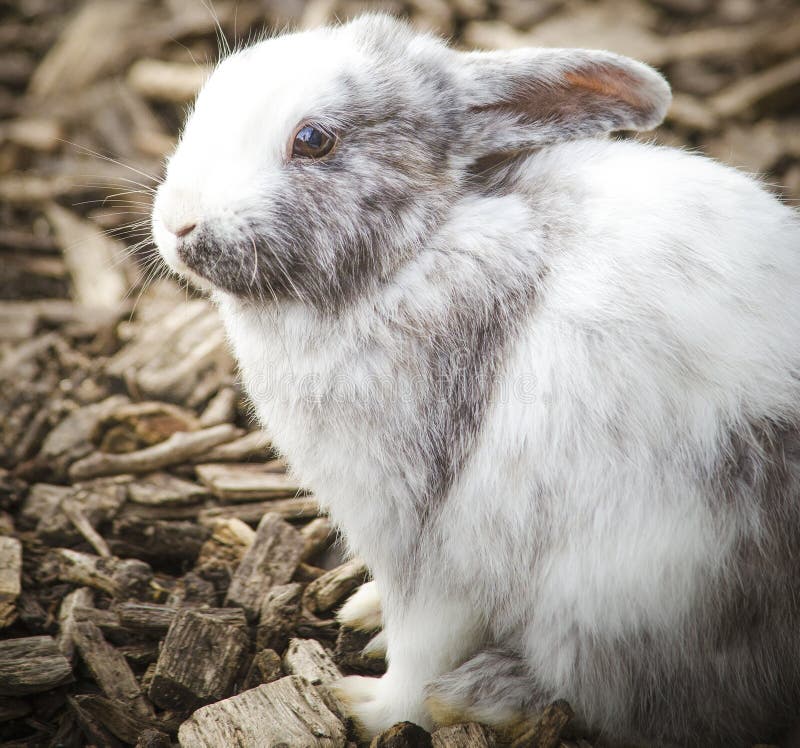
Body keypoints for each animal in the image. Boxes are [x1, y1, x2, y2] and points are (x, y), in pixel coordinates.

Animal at [151, 14, 800, 747]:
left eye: (313, 139)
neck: (411, 254)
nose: (176, 224)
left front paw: (369, 708)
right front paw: (362, 611)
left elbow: (421, 646)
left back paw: (482, 696)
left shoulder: (432, 538)